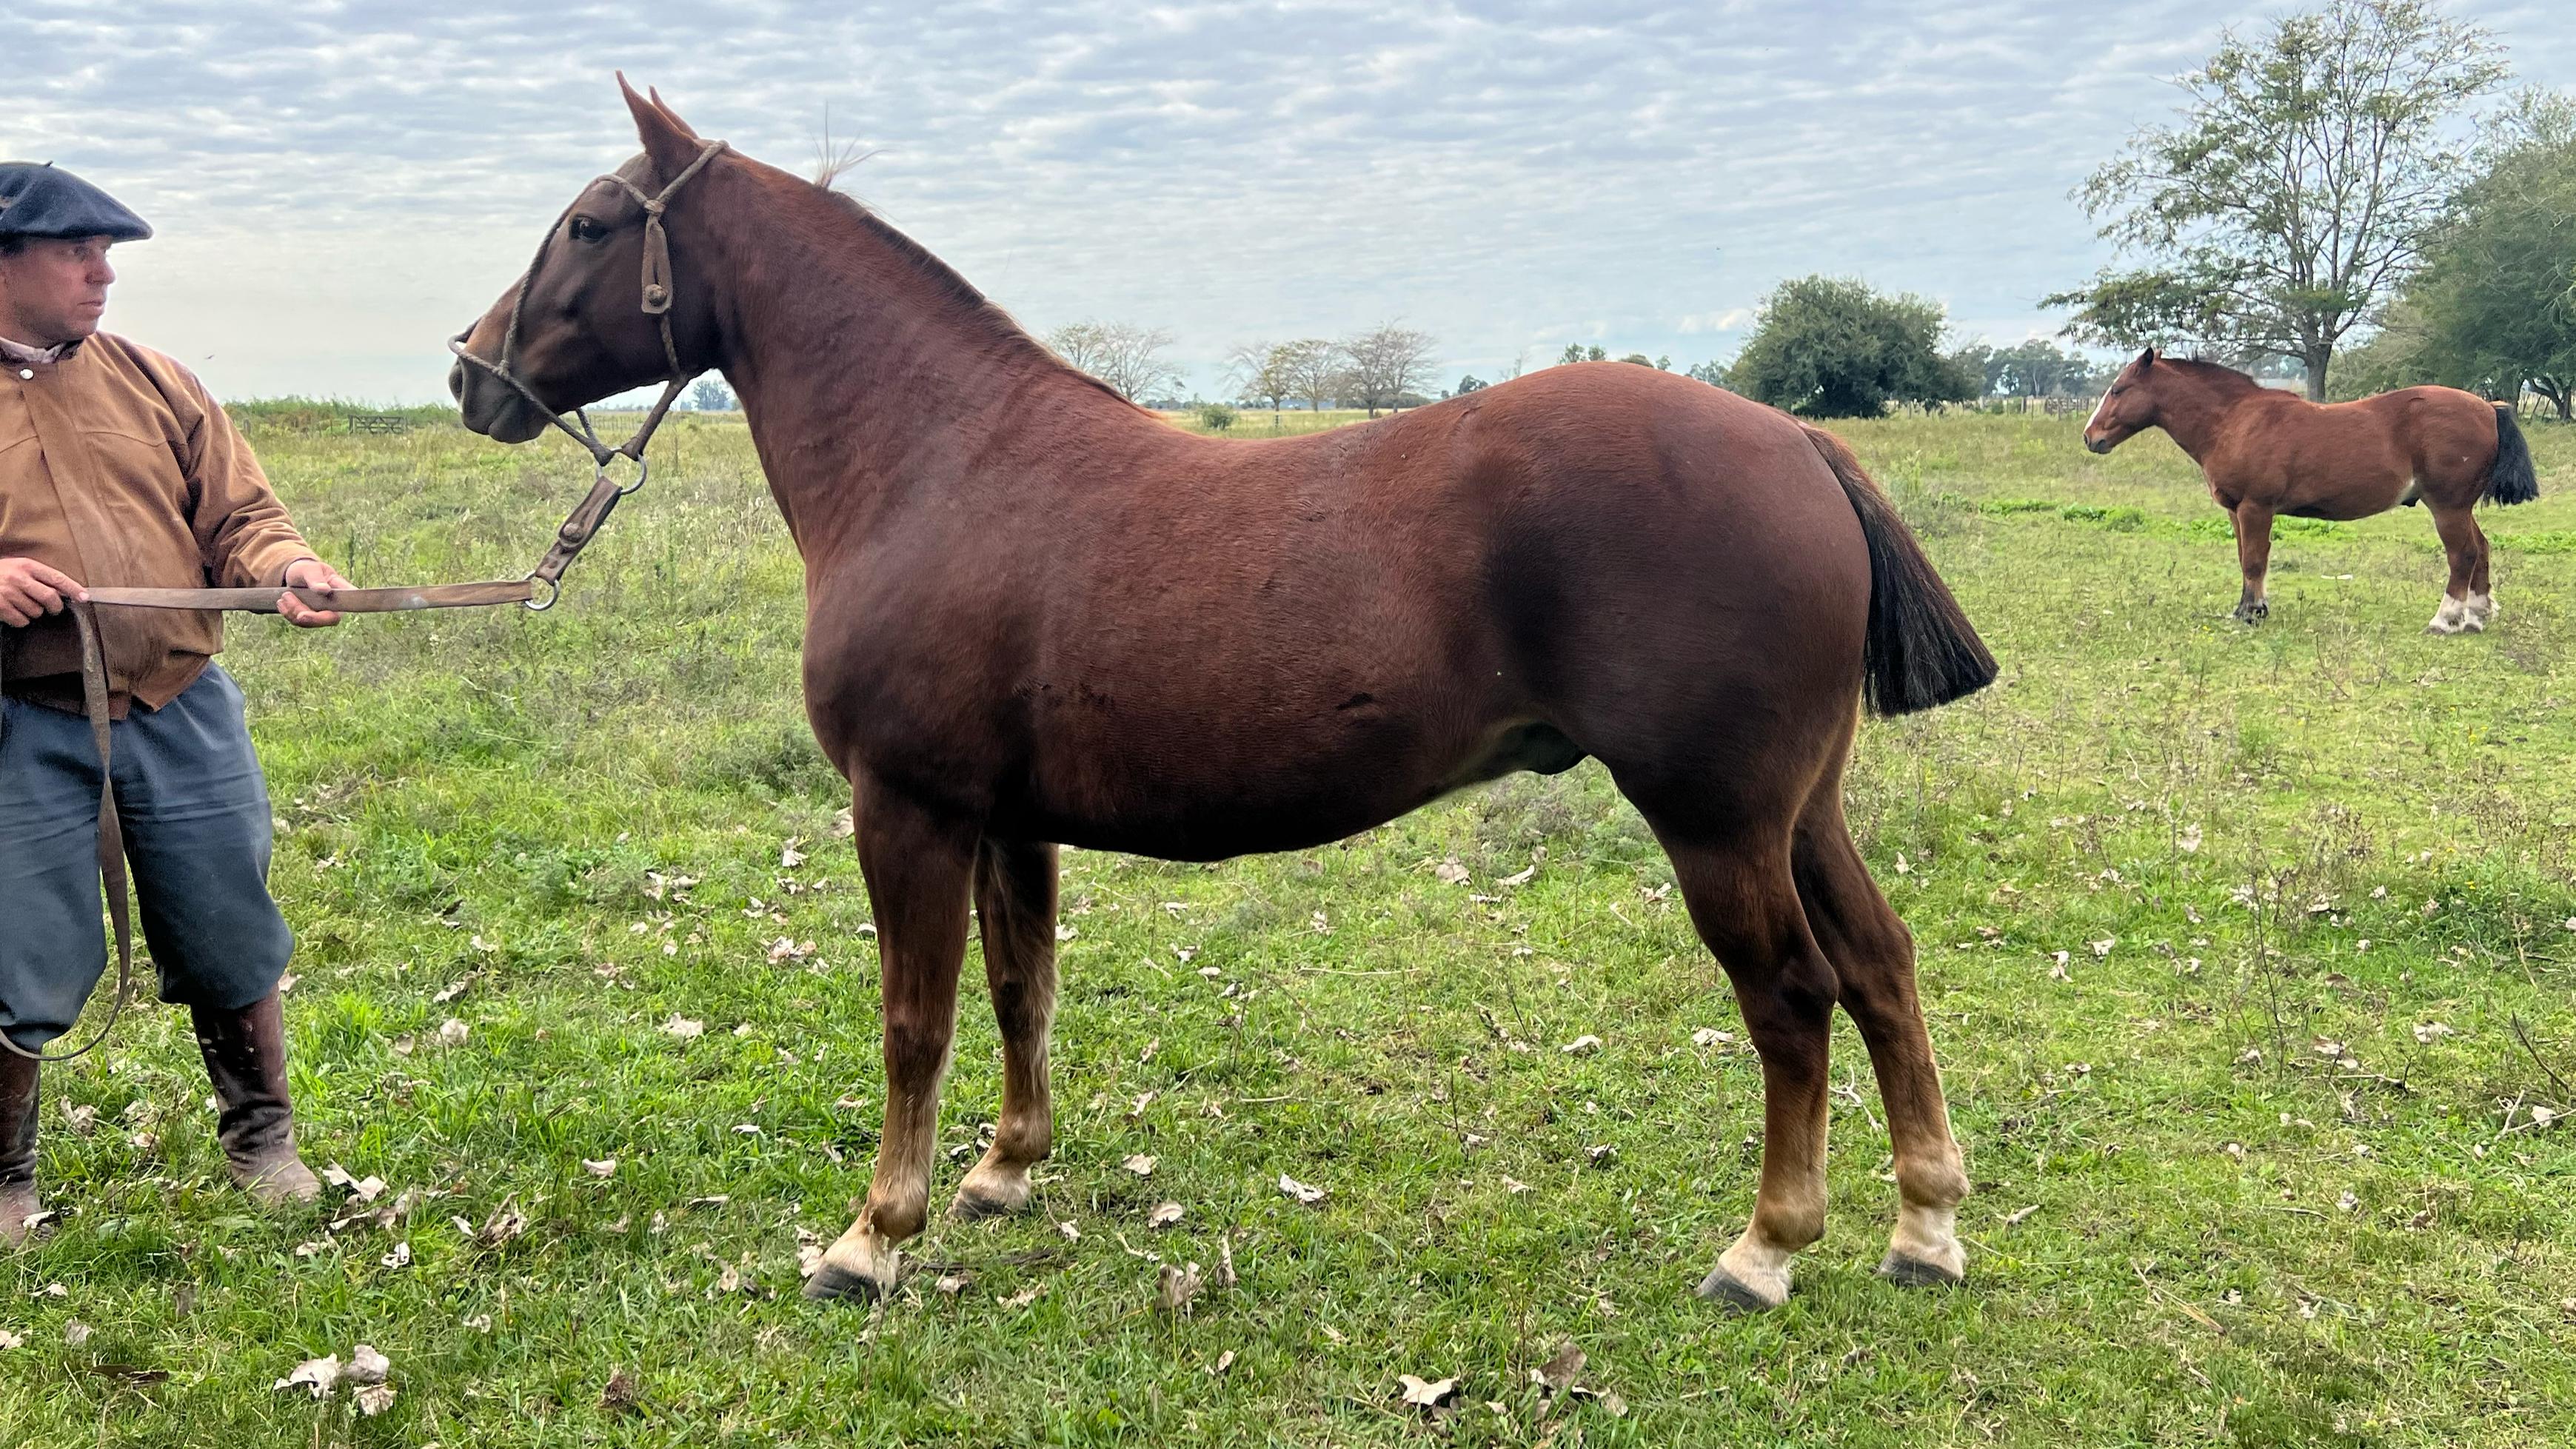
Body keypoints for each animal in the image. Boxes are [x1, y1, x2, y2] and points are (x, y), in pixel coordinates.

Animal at [449, 80, 1998, 1312]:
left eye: (591, 225)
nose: (471, 372)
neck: (938, 460)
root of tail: (1793, 440)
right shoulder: (1008, 818)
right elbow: (1019, 987)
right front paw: (1003, 1171)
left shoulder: (907, 808)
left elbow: (913, 1022)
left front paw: (870, 1238)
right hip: (1798, 808)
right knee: (1879, 965)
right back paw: (1922, 1225)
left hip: (1714, 819)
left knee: (1791, 995)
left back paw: (1764, 1249)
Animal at [2081, 349, 2539, 632]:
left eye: (2119, 390)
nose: (2090, 437)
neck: (2235, 421)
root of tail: (2488, 408)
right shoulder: (2236, 511)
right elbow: (2246, 559)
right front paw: (2247, 609)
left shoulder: (2256, 507)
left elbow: (2254, 561)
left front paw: (2252, 613)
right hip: (2461, 508)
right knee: (2482, 549)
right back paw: (2476, 615)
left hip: (2447, 507)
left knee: (2463, 555)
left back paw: (2445, 620)